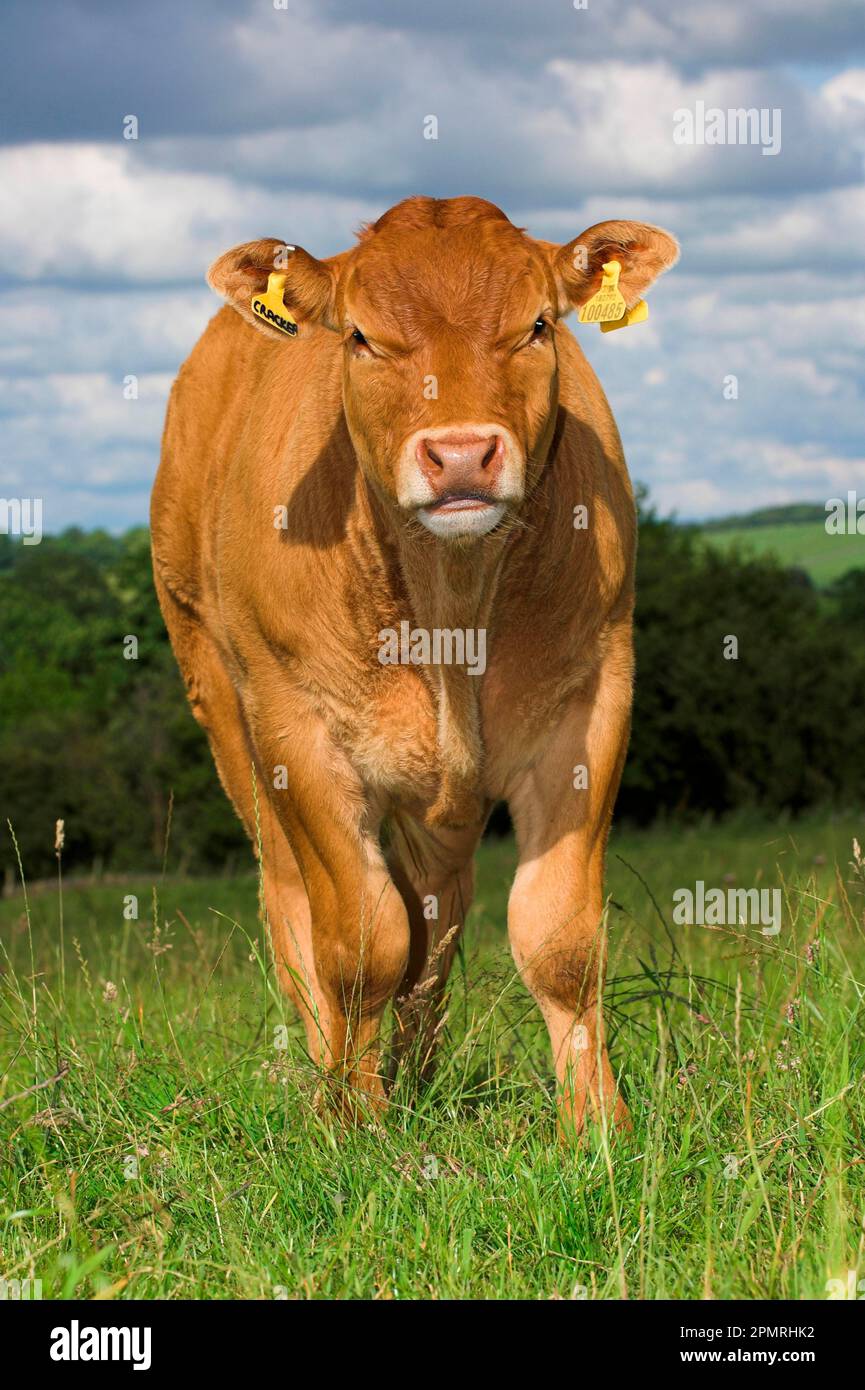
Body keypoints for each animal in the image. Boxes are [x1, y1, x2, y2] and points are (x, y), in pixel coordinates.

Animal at [151, 196, 678, 1137]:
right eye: (361, 337)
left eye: (536, 326)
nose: (462, 454)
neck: (449, 608)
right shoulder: (297, 727)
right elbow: (362, 941)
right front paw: (353, 1121)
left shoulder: (592, 705)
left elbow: (557, 940)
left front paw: (596, 1126)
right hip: (220, 698)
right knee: (292, 904)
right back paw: (328, 1073)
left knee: (439, 916)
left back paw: (417, 1074)